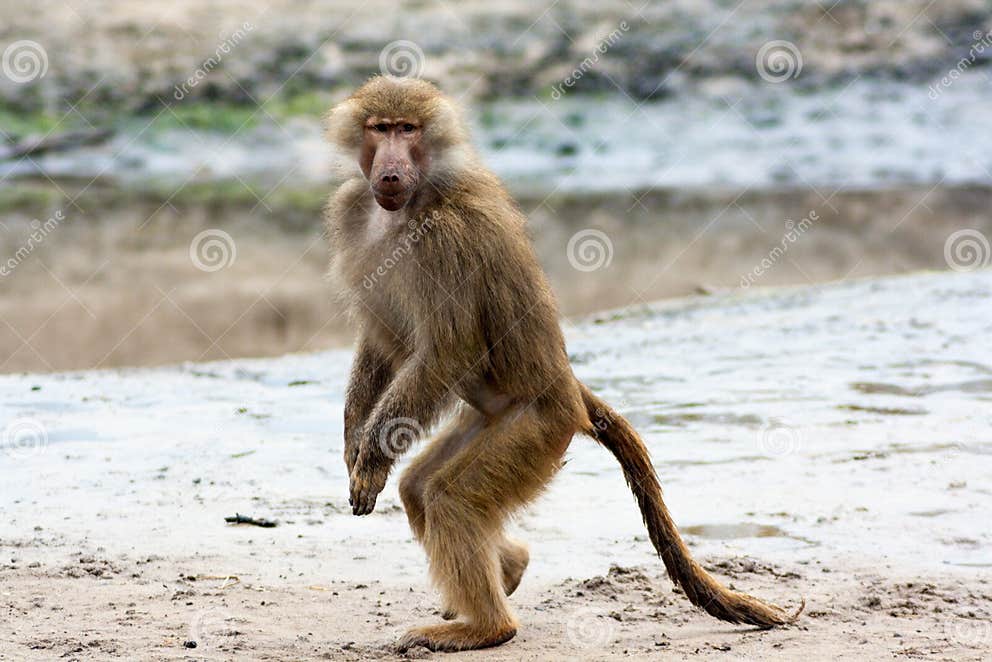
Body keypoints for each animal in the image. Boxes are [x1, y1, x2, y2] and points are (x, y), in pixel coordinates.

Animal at [324, 75, 802, 652]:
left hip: (538, 429)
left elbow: (447, 350)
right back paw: (507, 570)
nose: (390, 170)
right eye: (381, 128)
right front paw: (354, 445)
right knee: (420, 489)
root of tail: (567, 388)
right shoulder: (352, 211)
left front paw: (370, 461)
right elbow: (378, 342)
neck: (407, 204)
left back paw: (488, 627)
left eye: (408, 129)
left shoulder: (445, 242)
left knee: (448, 498)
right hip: (491, 420)